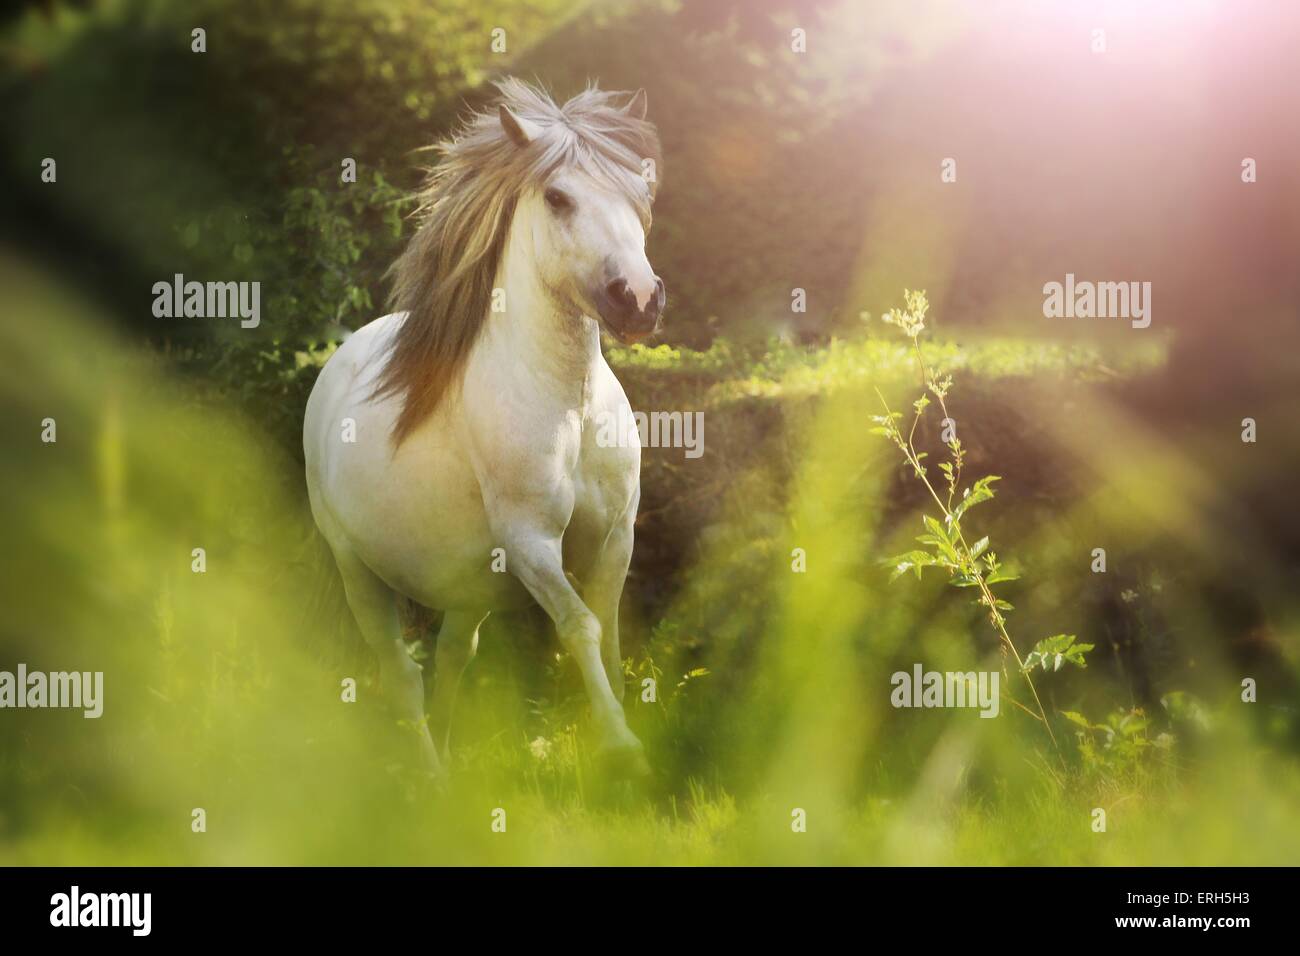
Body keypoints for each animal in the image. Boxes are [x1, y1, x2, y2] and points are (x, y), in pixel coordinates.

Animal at [303, 78, 665, 780]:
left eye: (643, 189)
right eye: (557, 197)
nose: (636, 299)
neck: (570, 407)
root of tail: (336, 364)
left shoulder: (615, 538)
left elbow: (608, 638)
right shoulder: (530, 541)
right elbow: (579, 627)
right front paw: (622, 748)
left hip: (464, 588)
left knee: (449, 661)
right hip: (358, 573)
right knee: (402, 674)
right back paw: (430, 782)